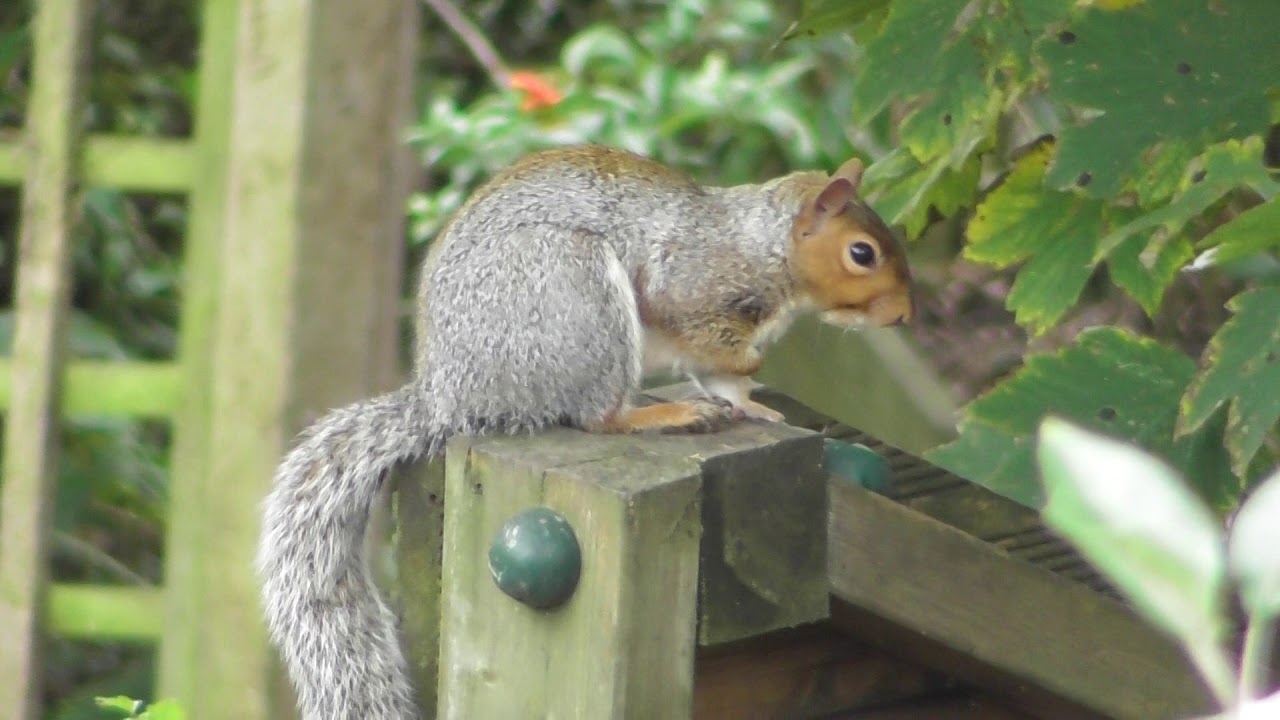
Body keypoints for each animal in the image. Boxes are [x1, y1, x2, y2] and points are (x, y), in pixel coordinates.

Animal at [256, 145, 914, 719]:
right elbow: (702, 332)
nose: (904, 315)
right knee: (598, 415)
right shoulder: (693, 283)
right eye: (862, 253)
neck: (765, 248)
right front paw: (748, 370)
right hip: (575, 292)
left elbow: (723, 379)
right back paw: (660, 415)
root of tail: (452, 399)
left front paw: (757, 408)